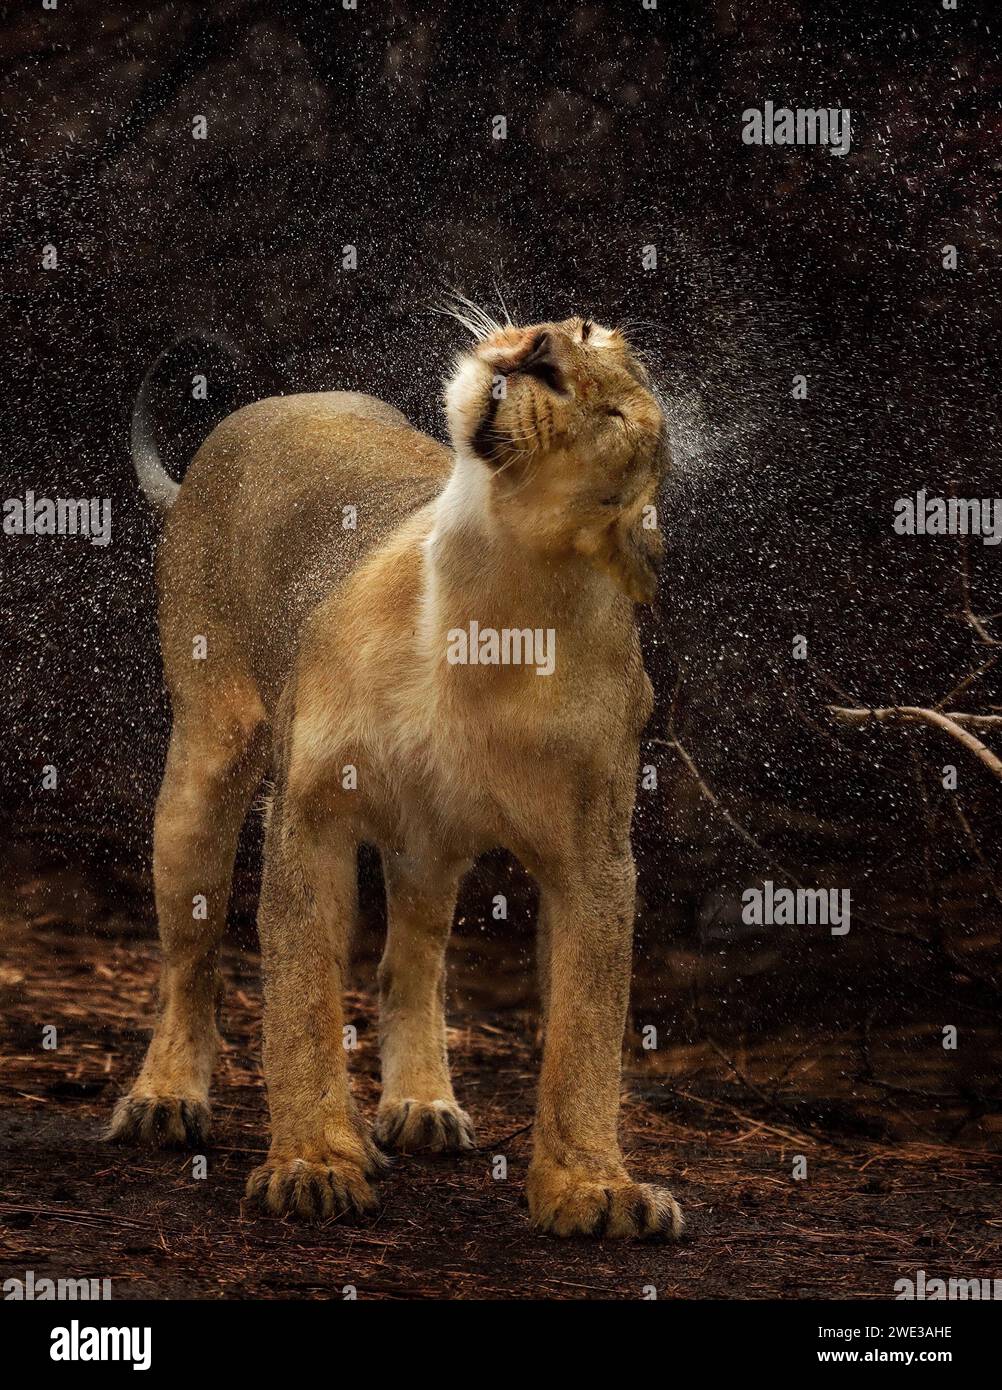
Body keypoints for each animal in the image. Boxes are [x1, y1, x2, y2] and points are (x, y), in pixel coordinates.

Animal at [110, 307, 683, 1239]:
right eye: (587, 329)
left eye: (618, 418)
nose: (543, 350)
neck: (482, 603)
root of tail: (261, 409)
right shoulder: (309, 812)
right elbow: (302, 1004)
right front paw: (315, 1163)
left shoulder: (595, 856)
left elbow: (586, 1036)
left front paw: (591, 1185)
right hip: (202, 765)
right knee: (190, 961)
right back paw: (164, 1097)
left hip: (429, 845)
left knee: (409, 965)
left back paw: (421, 1106)